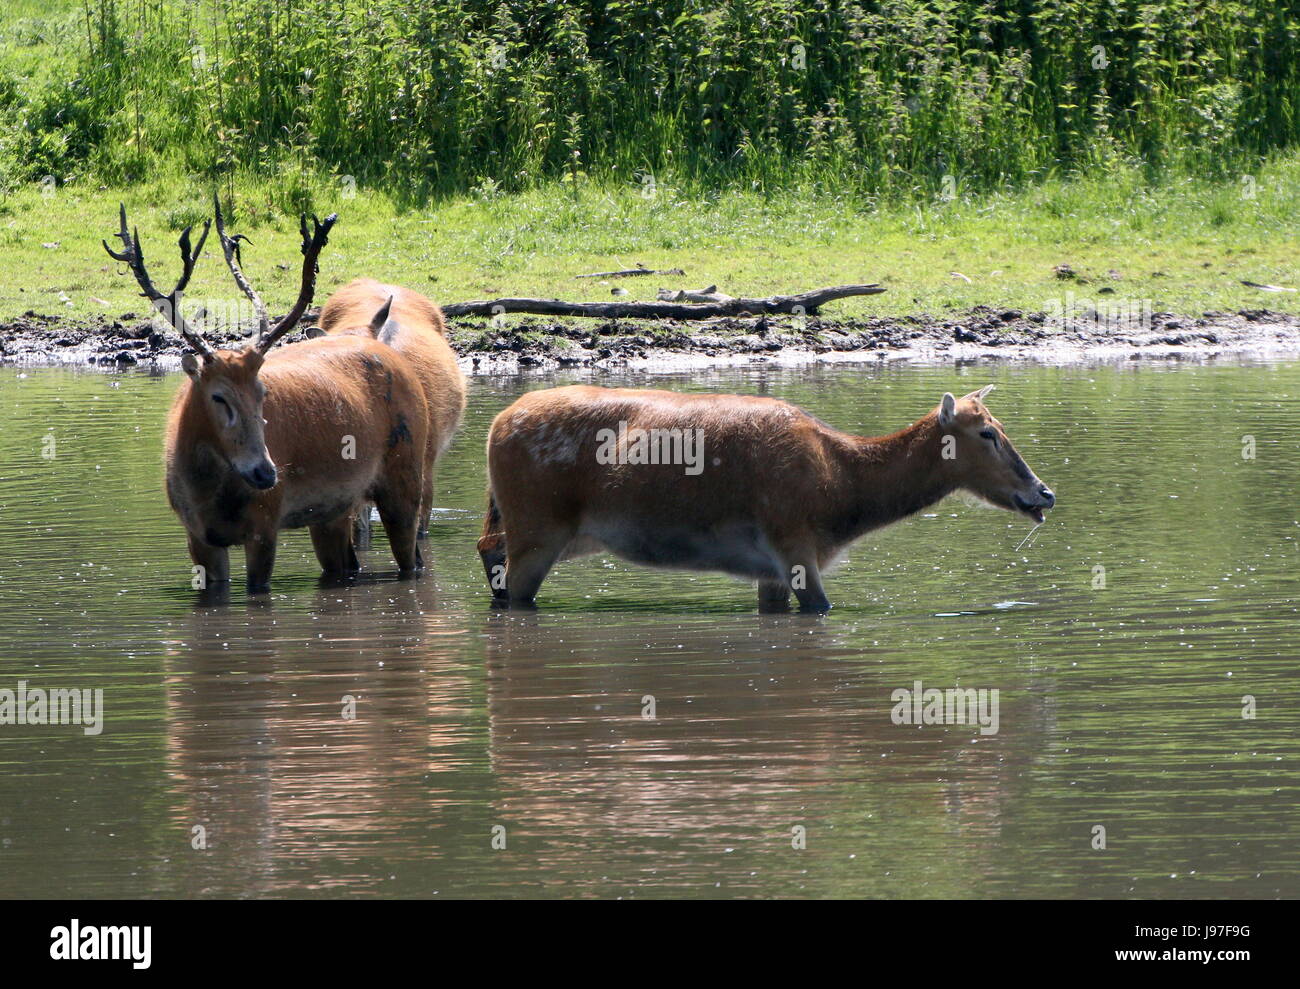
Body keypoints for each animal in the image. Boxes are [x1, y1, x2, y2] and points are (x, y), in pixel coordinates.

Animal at [104, 199, 431, 593]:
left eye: (262, 391)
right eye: (218, 397)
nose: (265, 472)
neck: (207, 493)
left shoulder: (265, 523)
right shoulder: (197, 535)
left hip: (406, 474)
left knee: (413, 559)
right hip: (333, 512)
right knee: (345, 564)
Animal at [477, 384, 1055, 612]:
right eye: (988, 433)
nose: (1043, 492)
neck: (843, 499)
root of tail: (496, 425)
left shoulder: (770, 565)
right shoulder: (793, 538)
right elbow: (822, 607)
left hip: (543, 529)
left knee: (488, 550)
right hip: (539, 523)